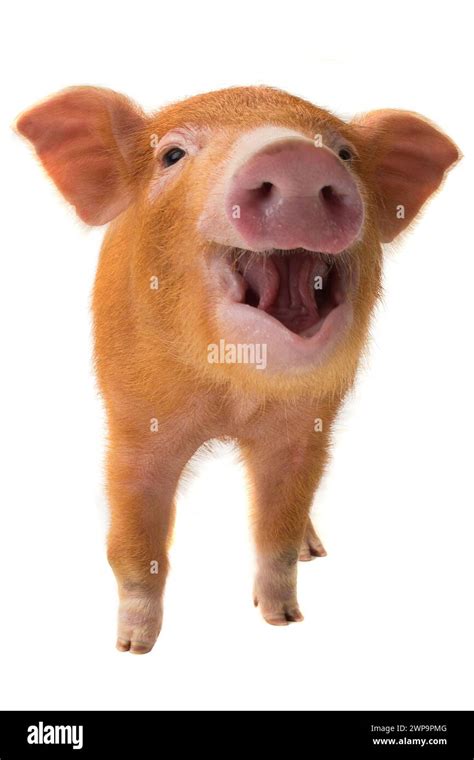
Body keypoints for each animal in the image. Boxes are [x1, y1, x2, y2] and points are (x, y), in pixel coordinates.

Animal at [16, 85, 459, 654]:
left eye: (344, 154)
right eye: (172, 155)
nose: (296, 155)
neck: (234, 399)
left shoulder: (304, 431)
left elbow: (278, 529)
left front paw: (284, 620)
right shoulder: (134, 423)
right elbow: (134, 541)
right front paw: (133, 646)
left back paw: (314, 551)